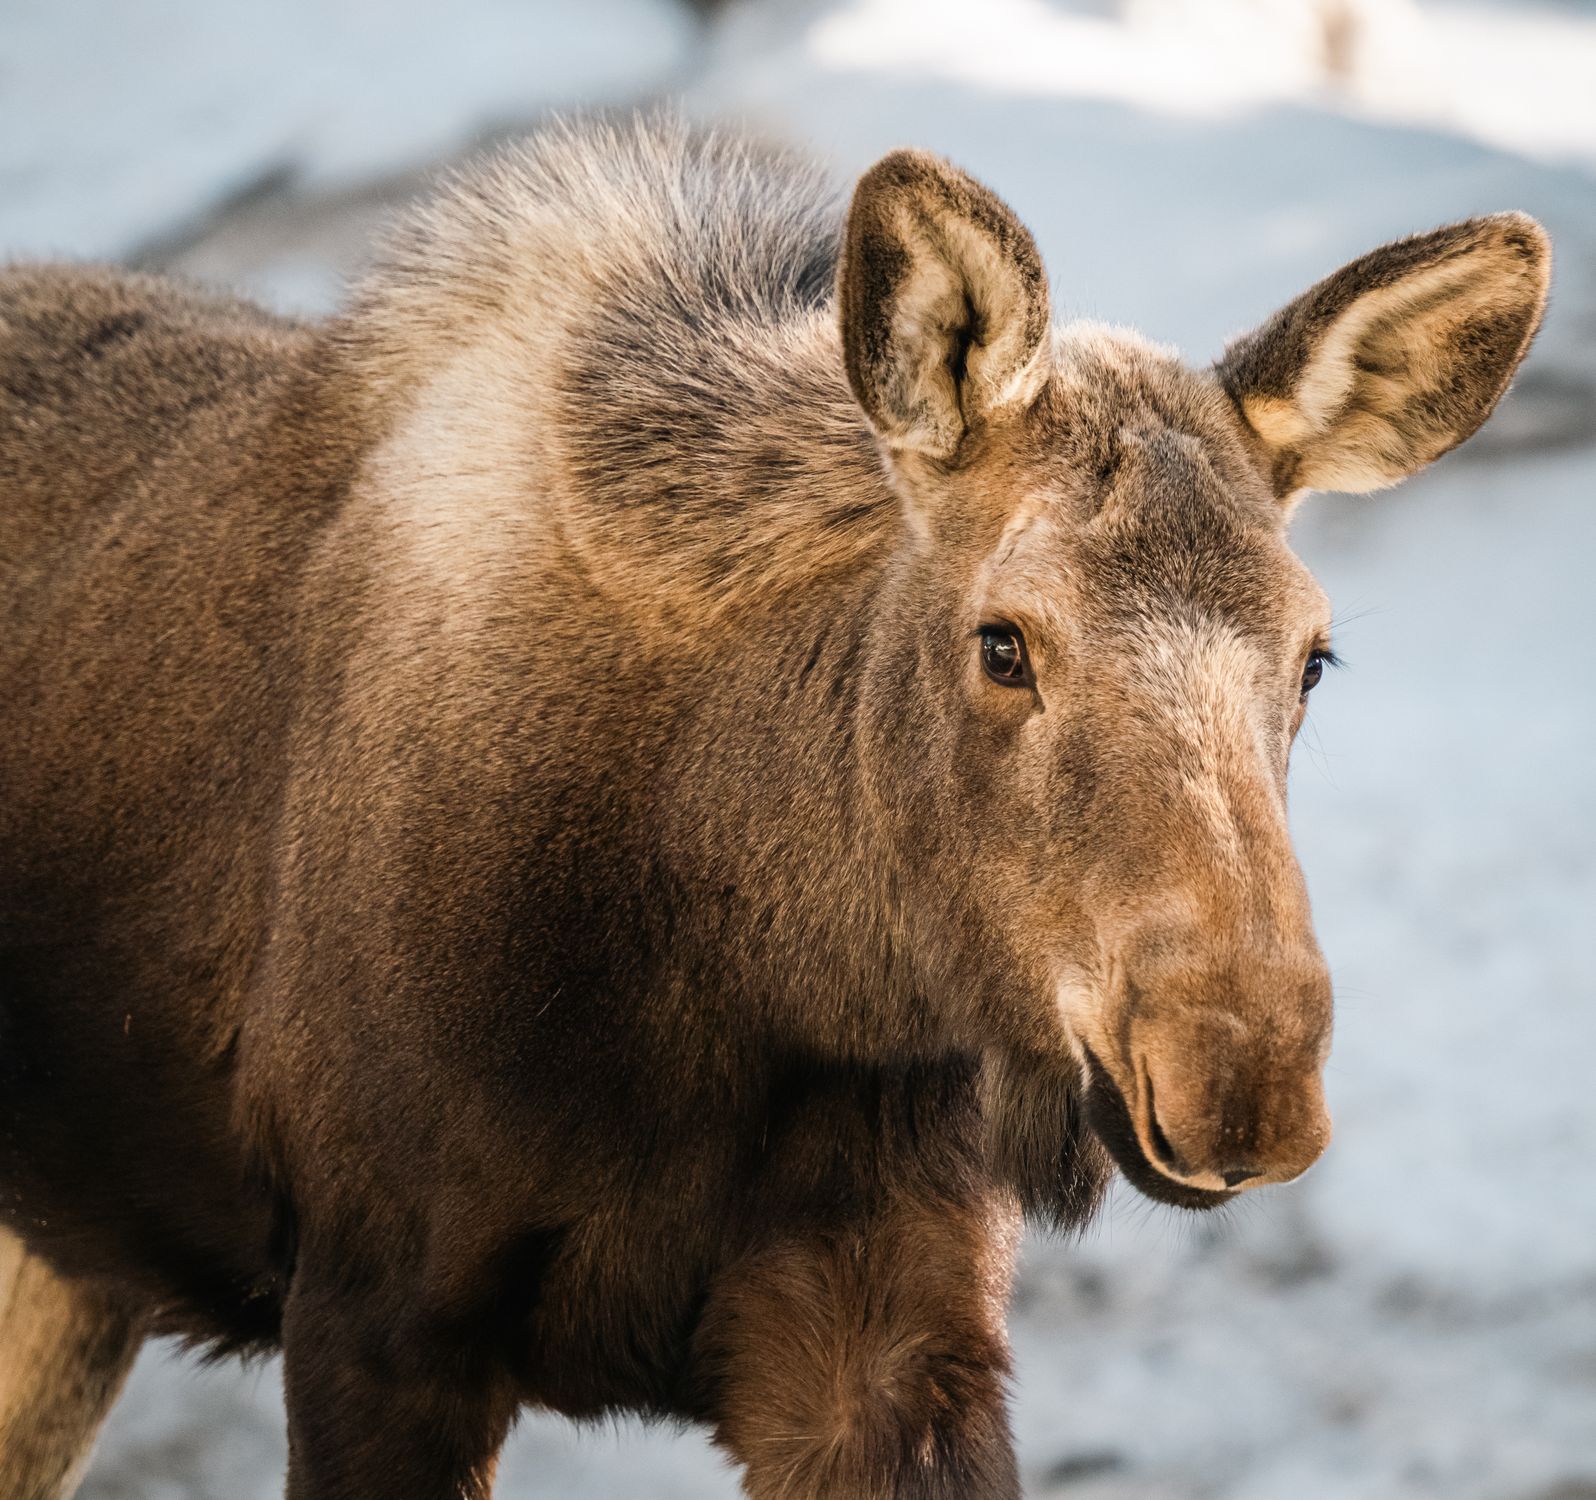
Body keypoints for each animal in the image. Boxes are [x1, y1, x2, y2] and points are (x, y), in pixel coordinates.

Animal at [0, 118, 1547, 1498]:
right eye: (1004, 642)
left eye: (1313, 657)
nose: (1244, 1076)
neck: (742, 969)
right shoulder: (378, 1318)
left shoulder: (890, 1336)